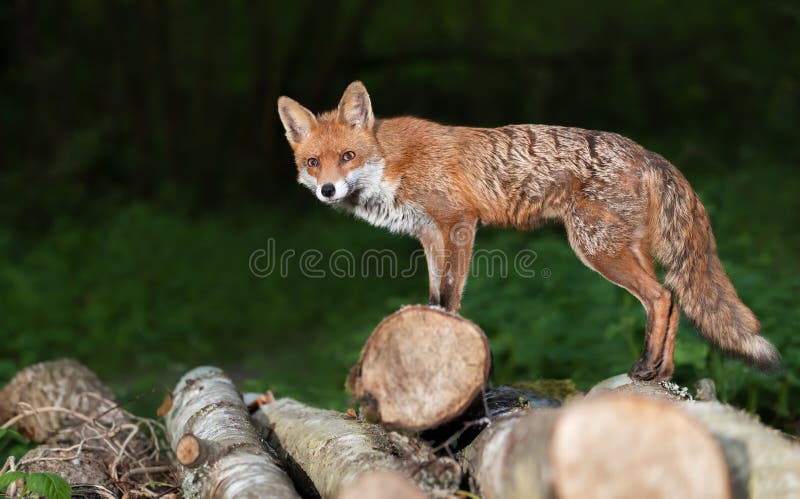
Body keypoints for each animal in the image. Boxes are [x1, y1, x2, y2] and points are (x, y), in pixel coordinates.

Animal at [277, 80, 780, 381]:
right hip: (623, 249)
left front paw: (449, 339)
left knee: (660, 298)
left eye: (347, 157)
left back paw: (644, 366)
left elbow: (452, 293)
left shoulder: (459, 223)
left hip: (595, 249)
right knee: (673, 299)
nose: (326, 190)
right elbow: (435, 294)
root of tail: (647, 152)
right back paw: (663, 372)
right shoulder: (428, 234)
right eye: (313, 162)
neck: (392, 163)